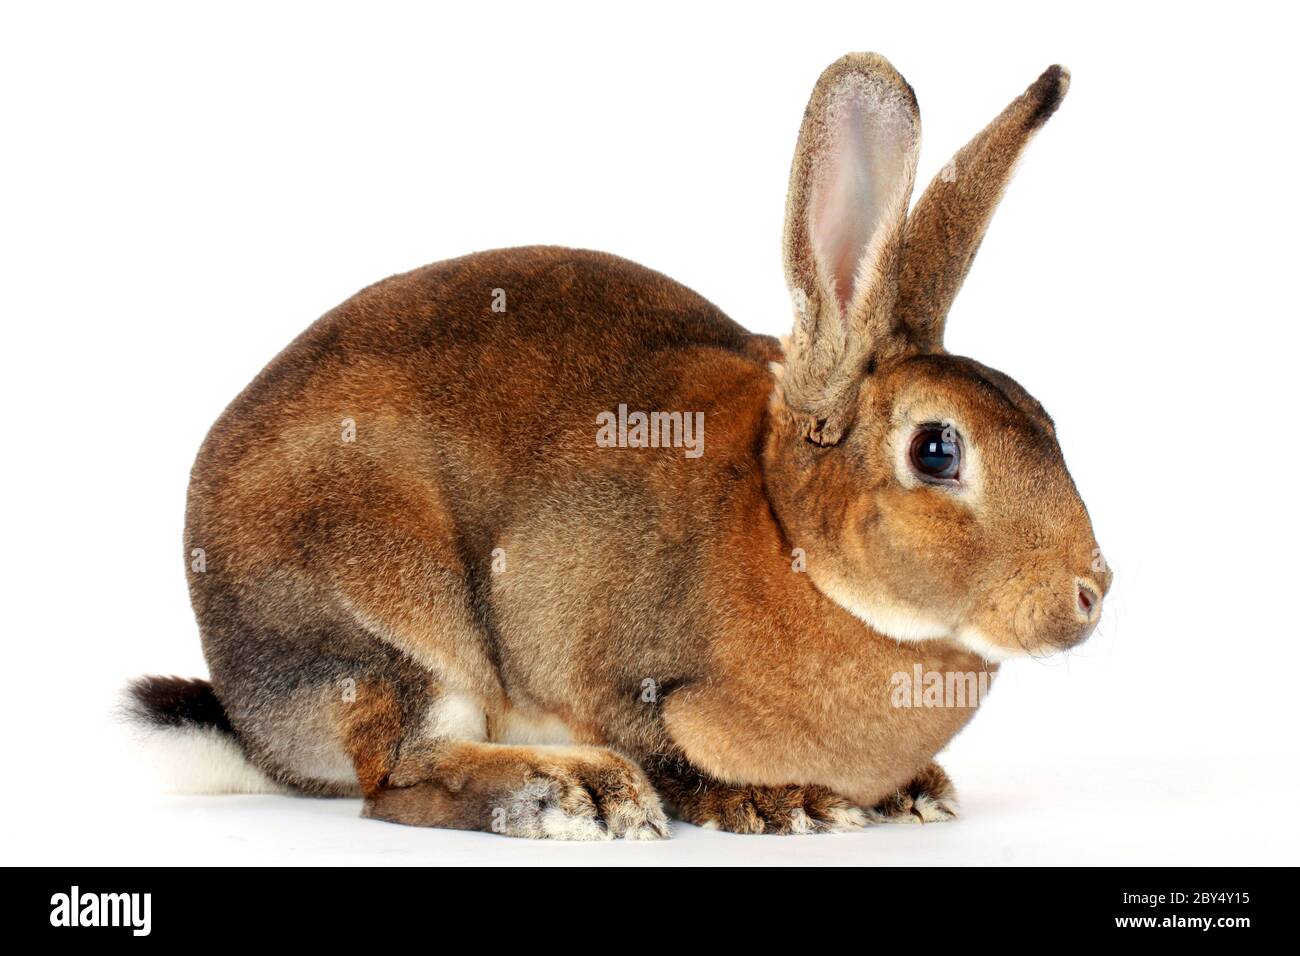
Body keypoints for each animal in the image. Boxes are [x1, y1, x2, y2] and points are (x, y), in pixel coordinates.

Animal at [128, 52, 1109, 839]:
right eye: (937, 451)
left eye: (1046, 418)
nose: (1090, 593)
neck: (790, 539)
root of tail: (253, 726)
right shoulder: (599, 660)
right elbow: (663, 750)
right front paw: (782, 803)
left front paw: (914, 791)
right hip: (393, 615)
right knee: (397, 776)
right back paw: (571, 794)